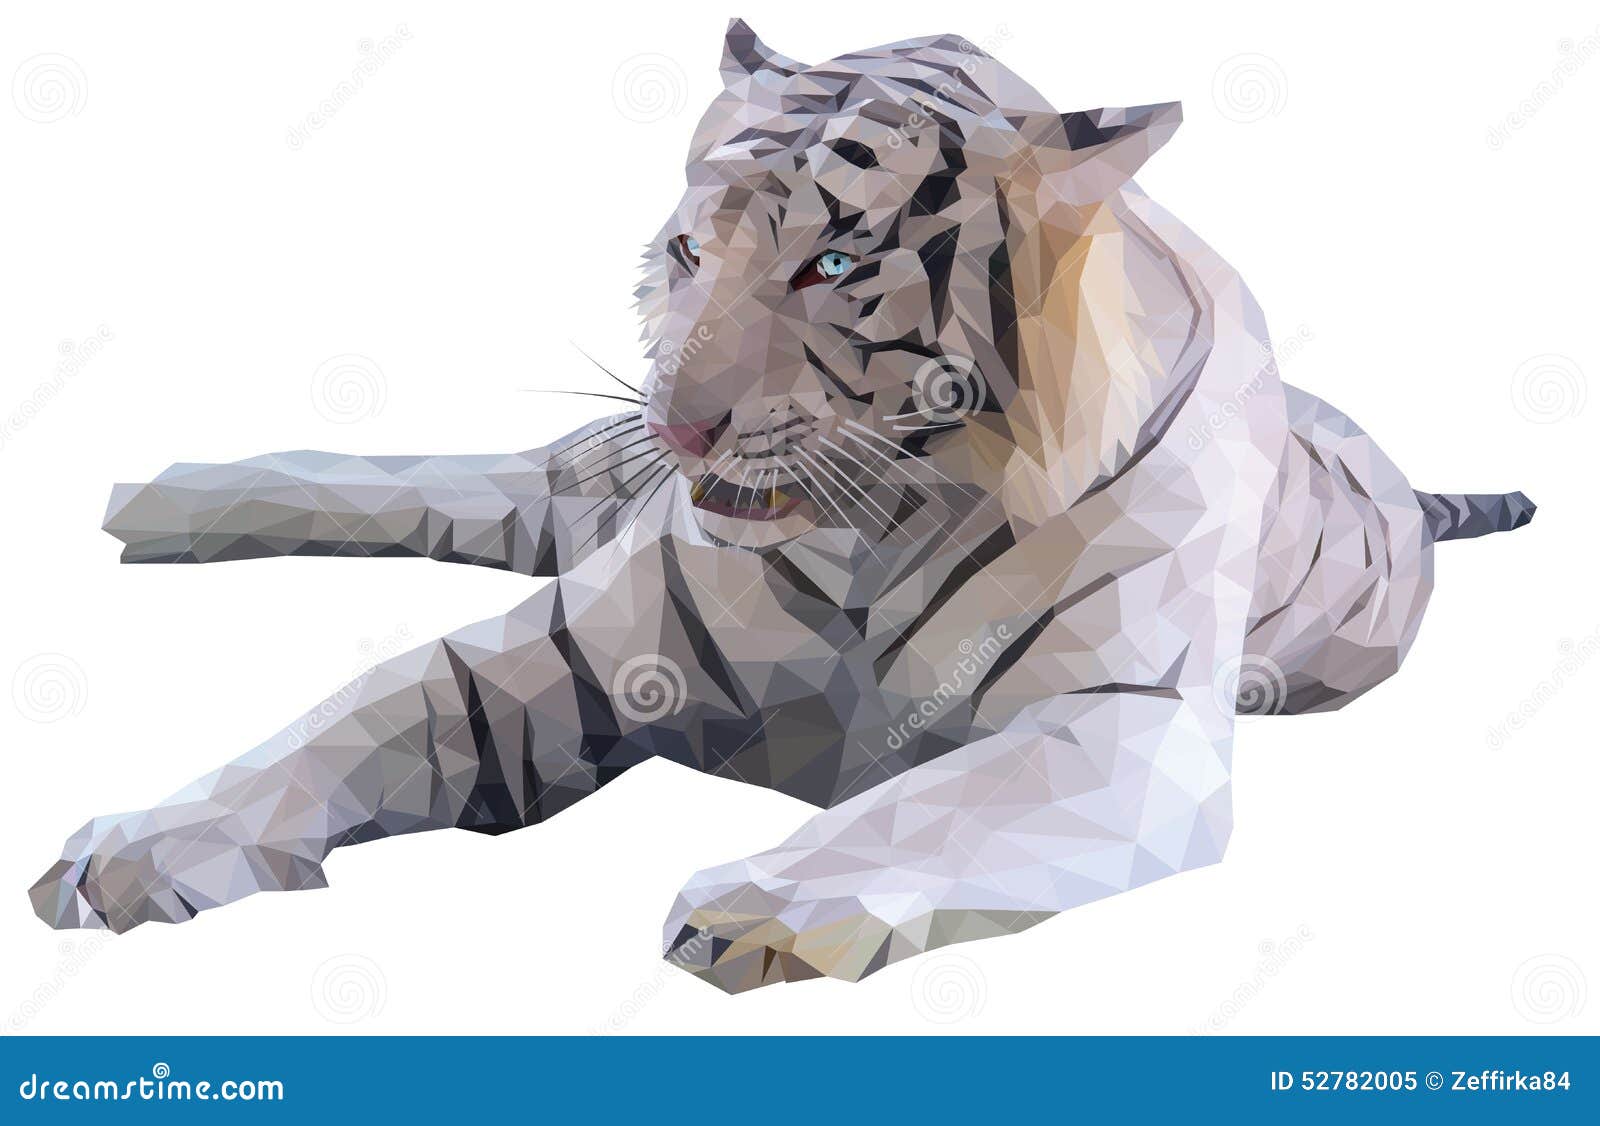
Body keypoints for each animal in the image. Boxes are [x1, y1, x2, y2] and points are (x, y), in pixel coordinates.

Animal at [30, 20, 1534, 994]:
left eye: (835, 264)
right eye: (692, 249)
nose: (677, 422)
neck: (883, 524)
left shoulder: (1127, 722)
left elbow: (922, 808)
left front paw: (760, 902)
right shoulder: (593, 637)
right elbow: (365, 708)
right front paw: (132, 845)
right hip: (584, 487)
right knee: (466, 483)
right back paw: (155, 493)